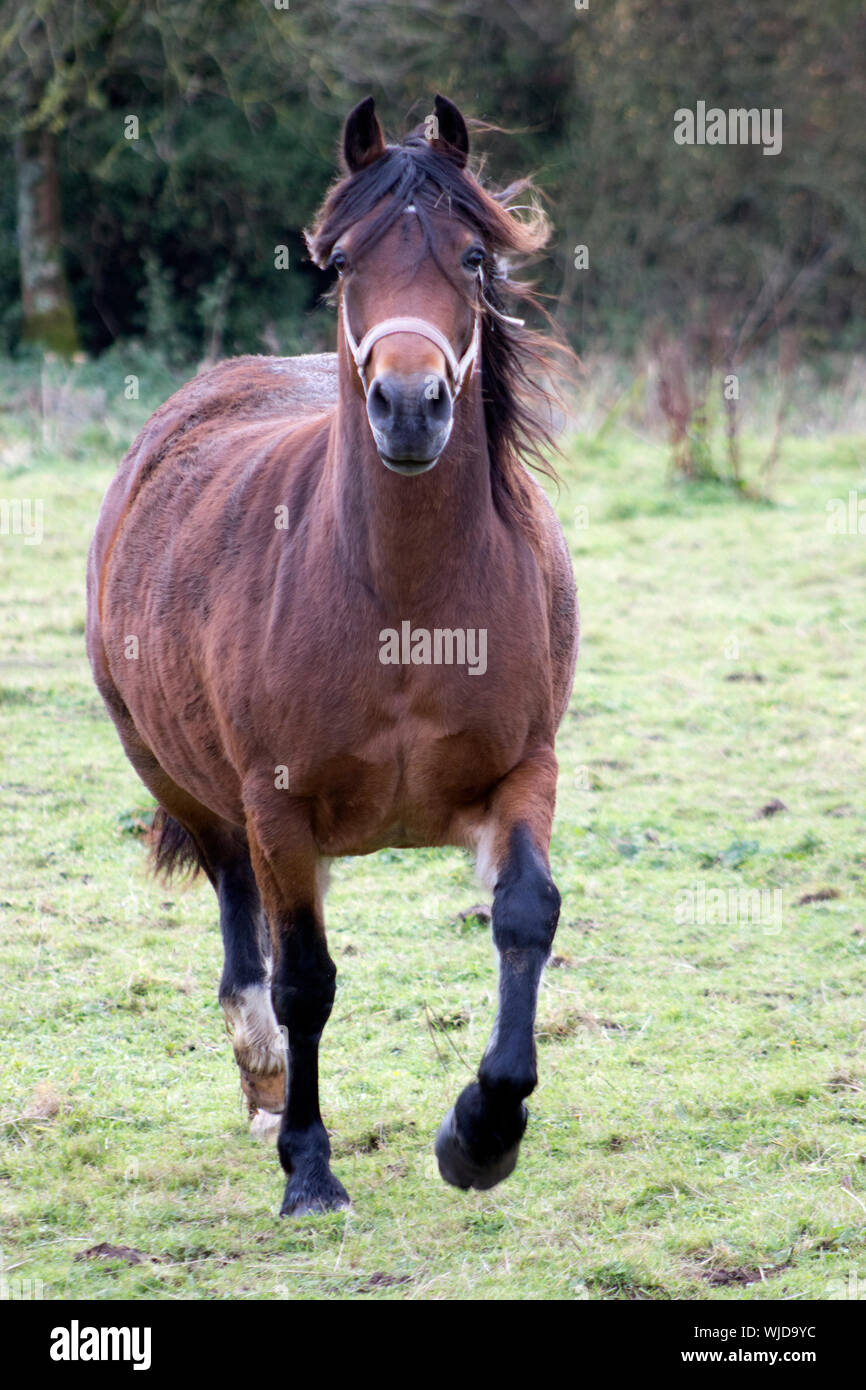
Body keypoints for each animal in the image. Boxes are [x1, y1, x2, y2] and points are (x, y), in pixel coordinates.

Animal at [86, 94, 579, 1216]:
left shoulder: (522, 769)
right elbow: (305, 979)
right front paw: (310, 1168)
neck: (403, 608)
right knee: (243, 928)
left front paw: (482, 1132)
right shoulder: (279, 806)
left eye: (474, 256)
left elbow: (523, 916)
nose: (409, 404)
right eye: (346, 260)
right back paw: (267, 1085)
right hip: (186, 783)